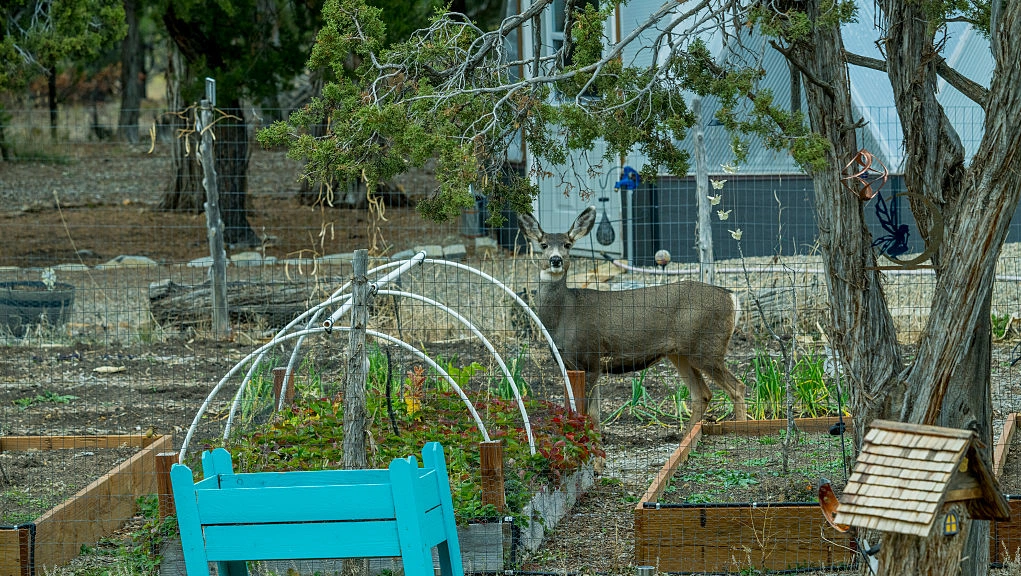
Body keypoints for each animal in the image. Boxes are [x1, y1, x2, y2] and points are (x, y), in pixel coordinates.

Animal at [517, 206, 747, 426]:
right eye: (543, 245)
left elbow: (586, 412)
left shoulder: (590, 357)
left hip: (707, 347)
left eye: (567, 244)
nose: (555, 260)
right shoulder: (570, 366)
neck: (565, 315)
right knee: (703, 394)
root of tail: (732, 297)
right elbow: (593, 415)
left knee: (737, 387)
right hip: (680, 353)